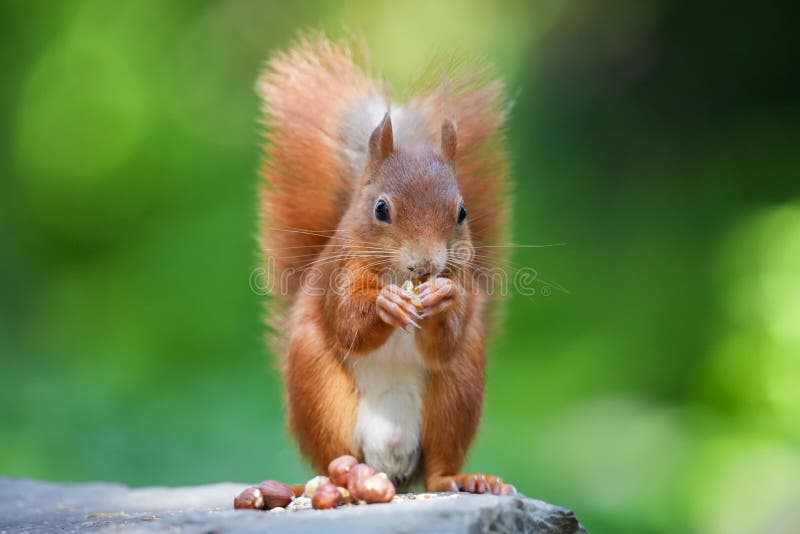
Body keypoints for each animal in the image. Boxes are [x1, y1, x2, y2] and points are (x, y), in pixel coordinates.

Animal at [256, 34, 513, 495]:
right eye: (380, 209)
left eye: (462, 212)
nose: (427, 261)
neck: (396, 275)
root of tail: (390, 461)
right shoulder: (340, 272)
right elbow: (346, 323)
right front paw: (384, 305)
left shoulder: (463, 281)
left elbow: (447, 337)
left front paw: (441, 300)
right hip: (317, 387)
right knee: (335, 456)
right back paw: (330, 485)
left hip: (460, 387)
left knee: (439, 467)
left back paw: (468, 479)